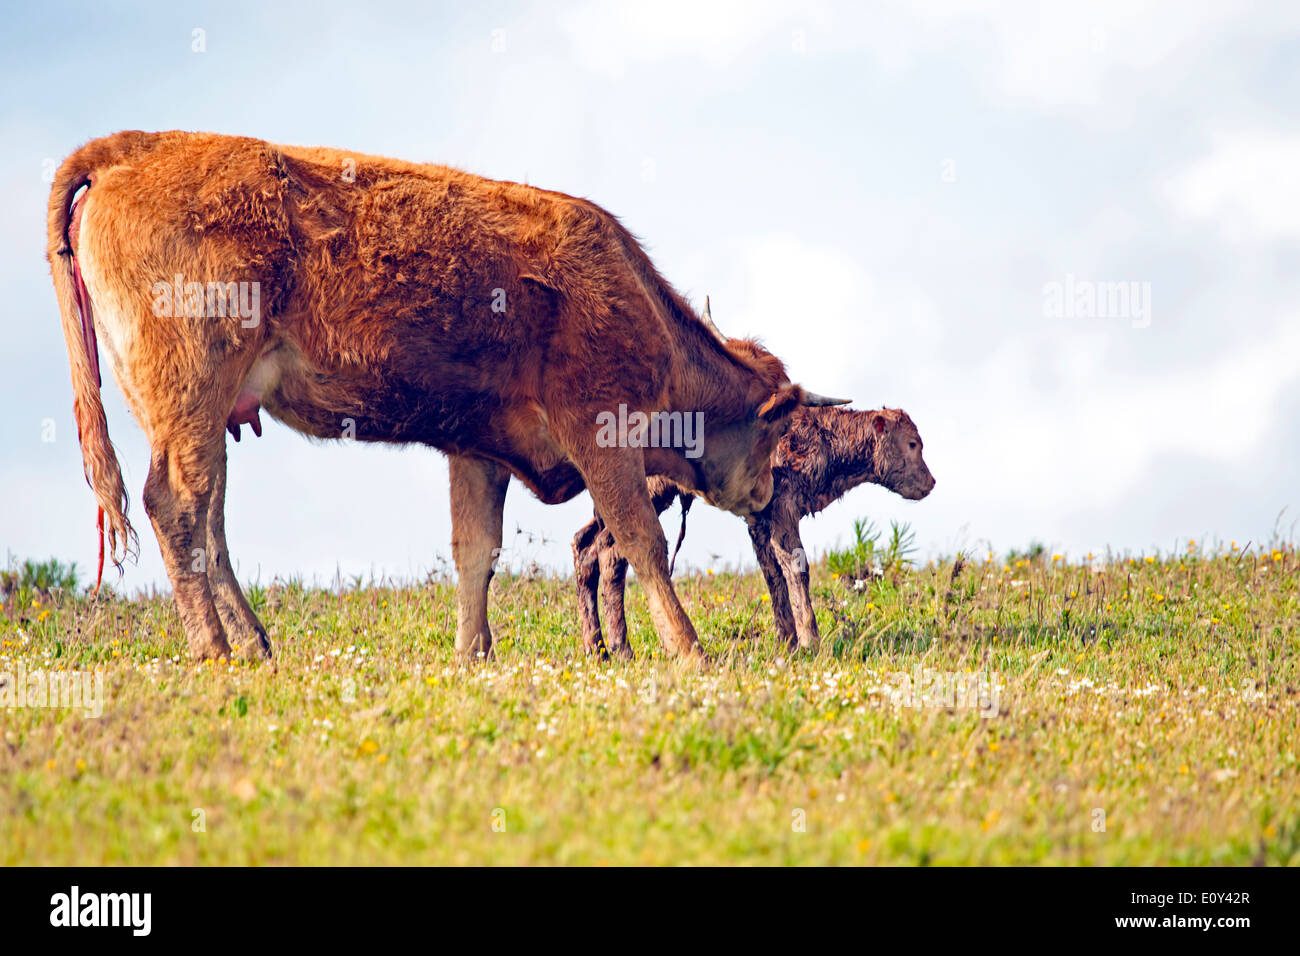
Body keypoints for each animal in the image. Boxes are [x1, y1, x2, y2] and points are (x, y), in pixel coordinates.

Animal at [46, 130, 847, 664]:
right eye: (774, 434)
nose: (766, 492)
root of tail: (140, 146)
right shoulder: (601, 430)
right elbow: (639, 539)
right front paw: (688, 650)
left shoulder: (479, 450)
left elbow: (474, 553)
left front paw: (471, 655)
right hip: (190, 392)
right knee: (176, 507)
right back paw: (215, 651)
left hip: (201, 415)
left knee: (208, 522)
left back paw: (256, 645)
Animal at [573, 405, 934, 656]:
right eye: (912, 443)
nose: (930, 482)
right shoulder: (784, 505)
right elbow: (796, 568)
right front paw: (810, 642)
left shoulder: (759, 519)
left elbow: (772, 572)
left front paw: (788, 642)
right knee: (612, 553)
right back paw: (619, 649)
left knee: (586, 545)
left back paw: (598, 650)